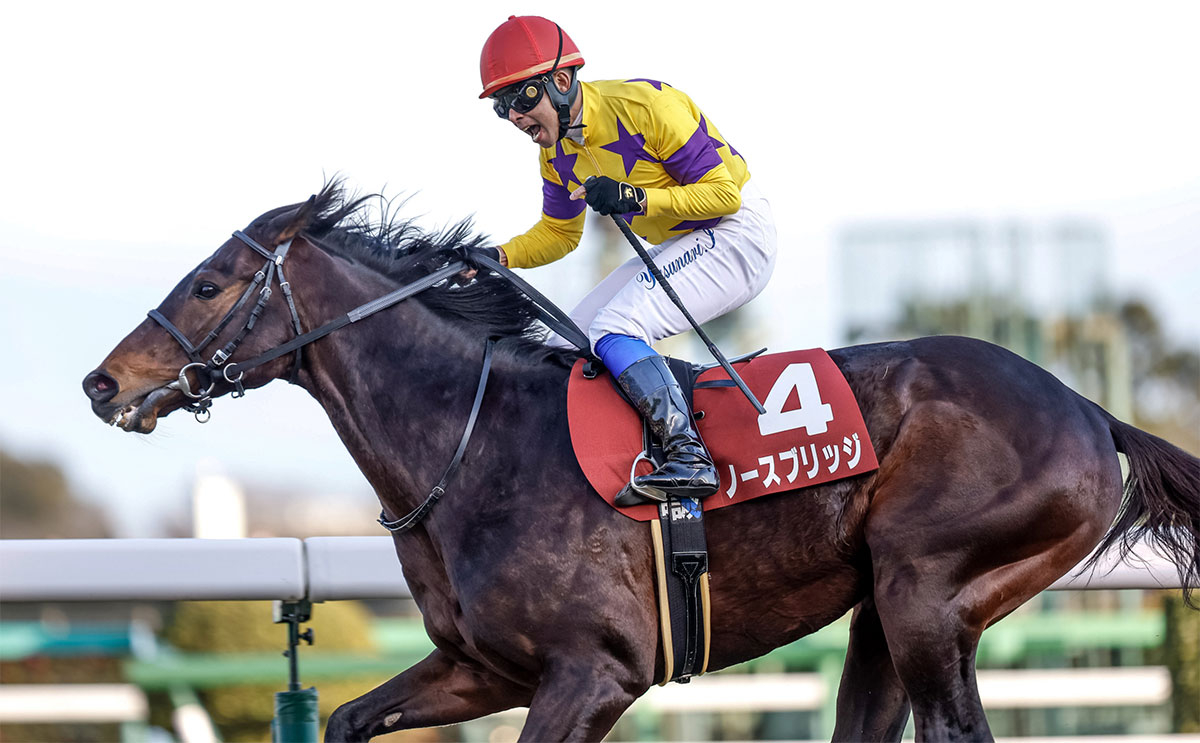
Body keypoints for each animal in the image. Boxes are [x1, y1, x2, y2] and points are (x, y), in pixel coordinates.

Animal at [83, 181, 1199, 742]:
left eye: (210, 282)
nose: (102, 381)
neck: (473, 440)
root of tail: (1085, 407)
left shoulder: (597, 668)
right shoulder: (485, 666)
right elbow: (352, 718)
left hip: (929, 589)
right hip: (885, 609)